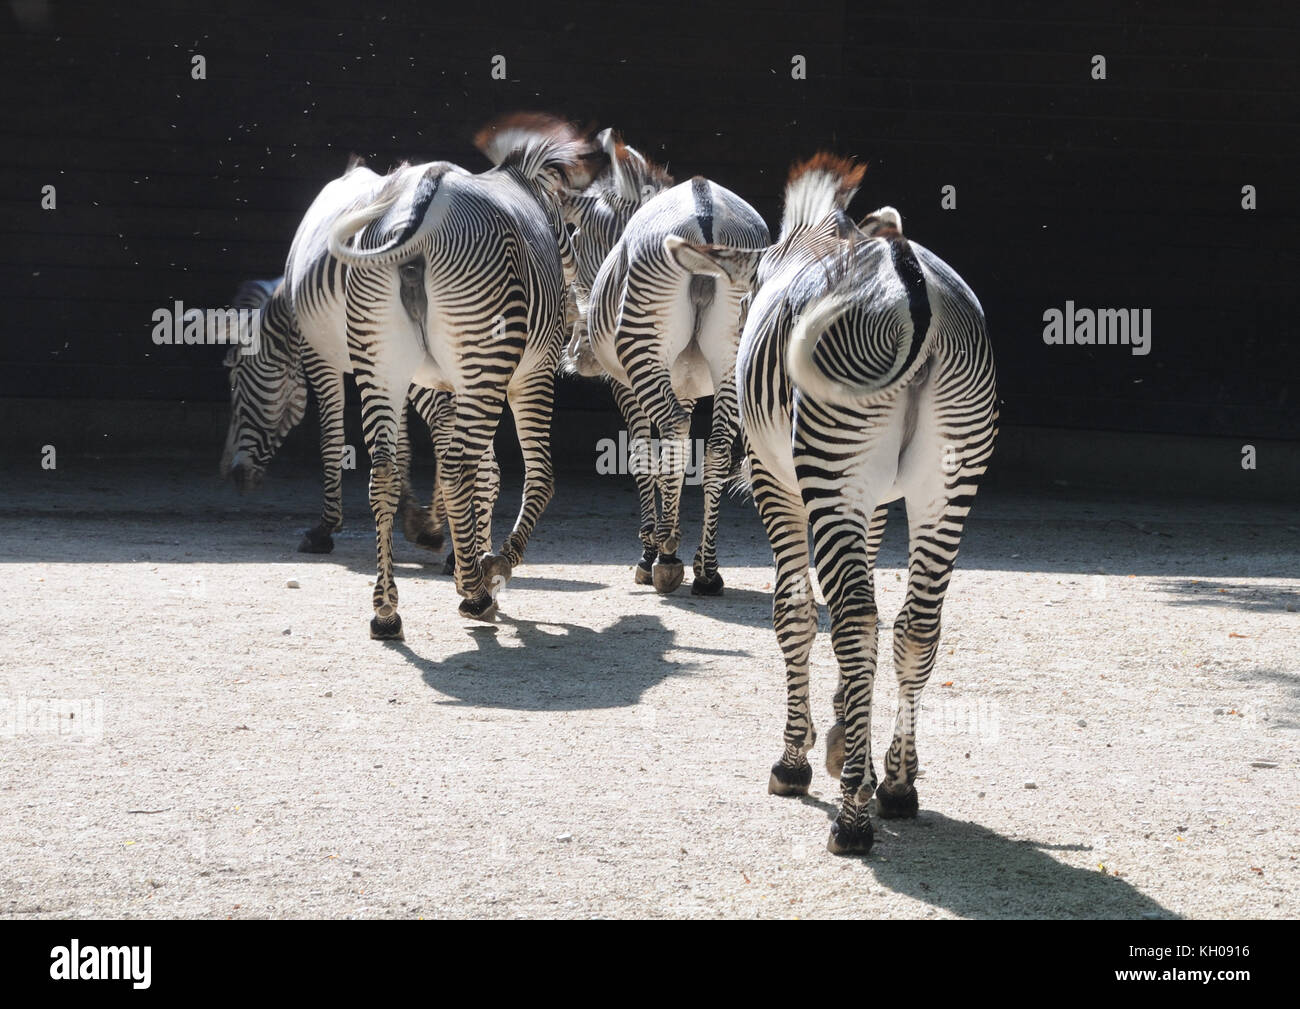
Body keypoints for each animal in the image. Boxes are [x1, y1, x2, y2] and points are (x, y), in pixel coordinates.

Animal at [323, 114, 586, 637]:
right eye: (567, 230)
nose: (573, 316)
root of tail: (422, 200)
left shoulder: (438, 385)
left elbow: (488, 472)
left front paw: (476, 557)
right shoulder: (532, 374)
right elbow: (536, 475)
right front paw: (494, 565)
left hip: (381, 365)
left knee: (386, 471)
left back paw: (387, 611)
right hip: (487, 361)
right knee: (457, 466)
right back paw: (473, 592)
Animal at [580, 170, 768, 594]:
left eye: (573, 236)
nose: (581, 361)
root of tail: (704, 207)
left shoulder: (625, 386)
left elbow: (643, 455)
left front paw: (651, 553)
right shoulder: (687, 385)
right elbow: (677, 458)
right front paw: (677, 555)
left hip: (642, 347)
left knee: (673, 426)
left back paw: (666, 549)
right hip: (734, 351)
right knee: (716, 449)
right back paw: (707, 570)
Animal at [666, 153, 998, 854]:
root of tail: (910, 285)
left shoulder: (779, 482)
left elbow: (793, 615)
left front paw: (799, 759)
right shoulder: (873, 501)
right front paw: (853, 743)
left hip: (827, 460)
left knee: (853, 623)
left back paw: (851, 822)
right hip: (947, 484)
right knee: (914, 627)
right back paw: (896, 786)